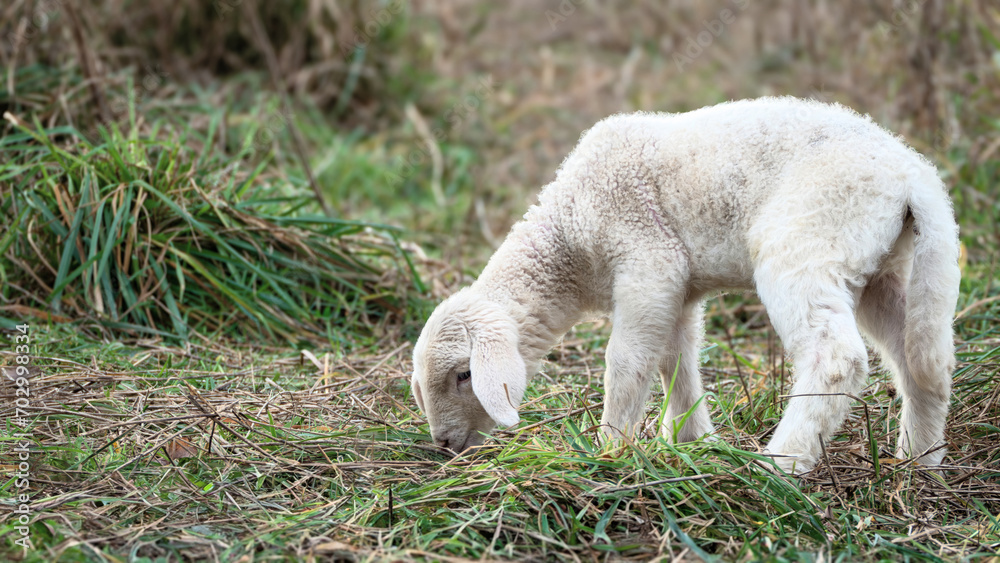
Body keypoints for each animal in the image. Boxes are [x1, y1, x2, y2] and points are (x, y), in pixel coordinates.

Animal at [410, 96, 961, 474]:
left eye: (463, 375)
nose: (443, 444)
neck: (569, 234)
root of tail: (914, 176)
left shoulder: (647, 263)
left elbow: (627, 362)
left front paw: (611, 451)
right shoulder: (679, 289)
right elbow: (675, 361)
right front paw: (691, 441)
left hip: (808, 241)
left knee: (836, 360)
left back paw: (779, 466)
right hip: (883, 268)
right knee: (922, 360)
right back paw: (918, 461)